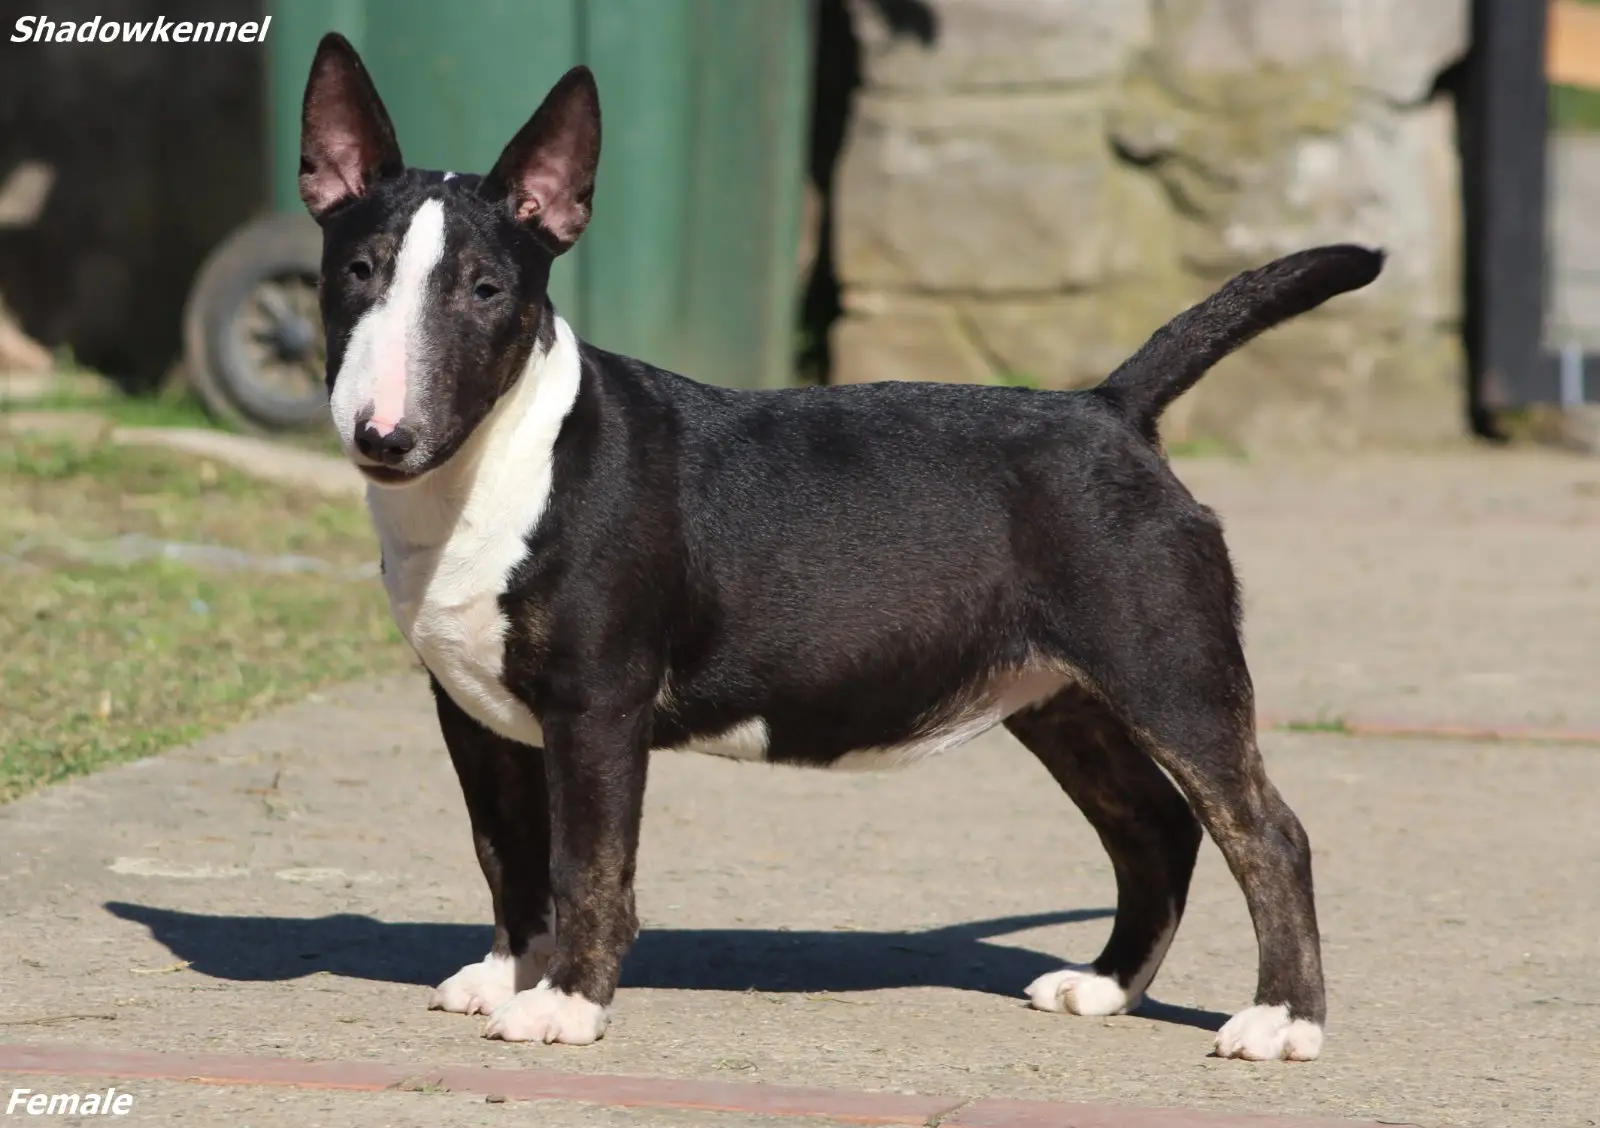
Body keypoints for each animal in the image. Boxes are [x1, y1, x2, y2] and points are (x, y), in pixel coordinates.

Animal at [297, 30, 1376, 1062]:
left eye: (485, 289)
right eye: (356, 272)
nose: (382, 433)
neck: (498, 469)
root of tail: (1112, 410)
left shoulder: (596, 704)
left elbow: (586, 861)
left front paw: (562, 1006)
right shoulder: (470, 711)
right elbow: (505, 851)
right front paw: (501, 977)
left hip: (1167, 669)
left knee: (1266, 832)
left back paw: (1282, 1021)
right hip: (1062, 698)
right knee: (1153, 828)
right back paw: (1106, 986)